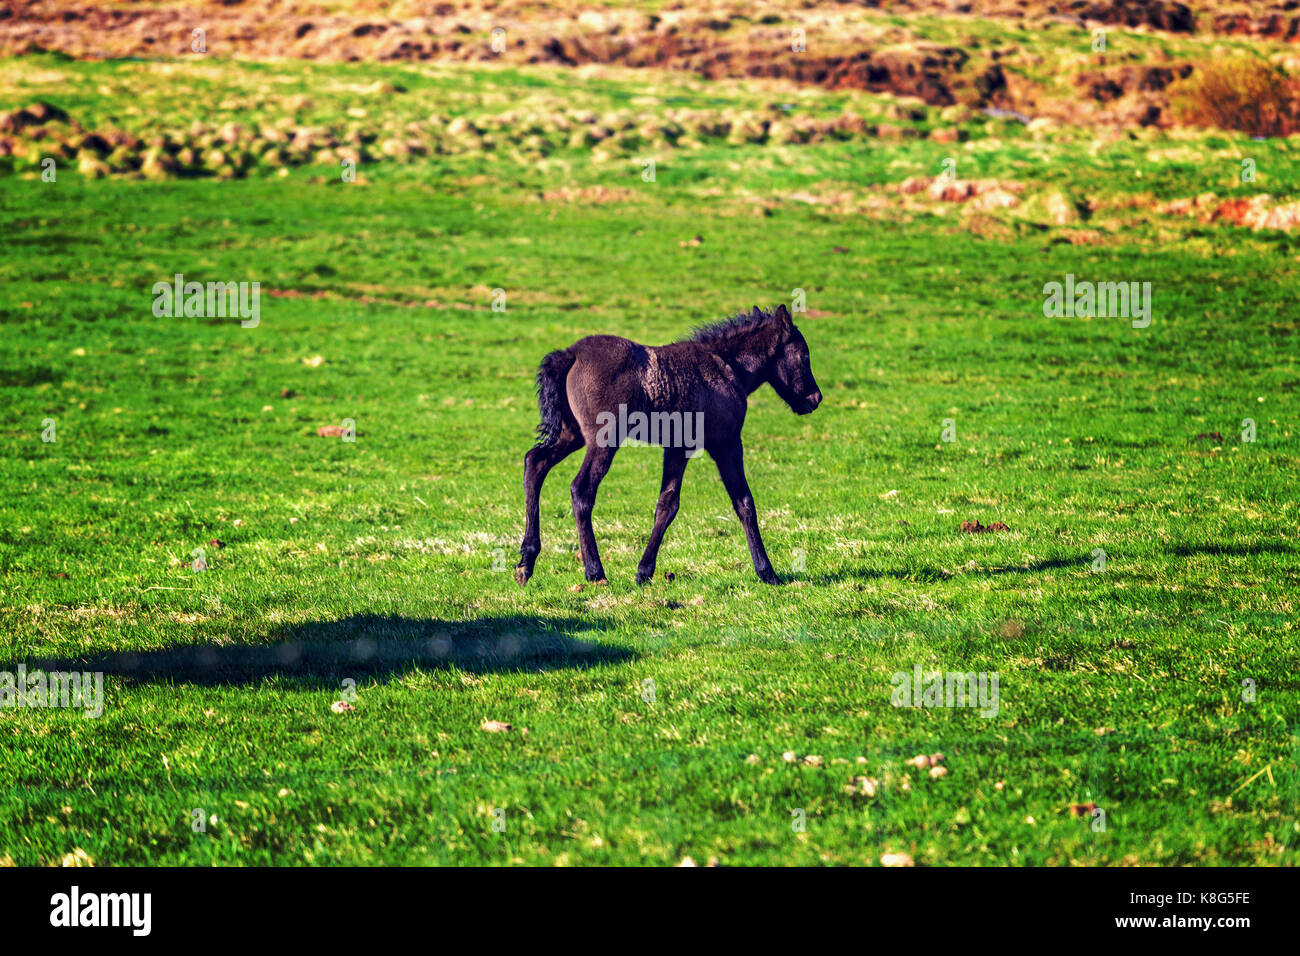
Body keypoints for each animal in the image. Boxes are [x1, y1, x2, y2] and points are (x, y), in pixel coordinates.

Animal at [514, 304, 822, 586]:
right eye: (804, 355)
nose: (815, 398)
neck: (726, 367)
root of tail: (571, 353)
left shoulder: (678, 448)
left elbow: (667, 504)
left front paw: (644, 572)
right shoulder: (727, 444)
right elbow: (744, 502)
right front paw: (767, 572)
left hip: (571, 434)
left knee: (535, 463)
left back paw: (526, 562)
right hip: (602, 441)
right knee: (581, 489)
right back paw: (594, 571)